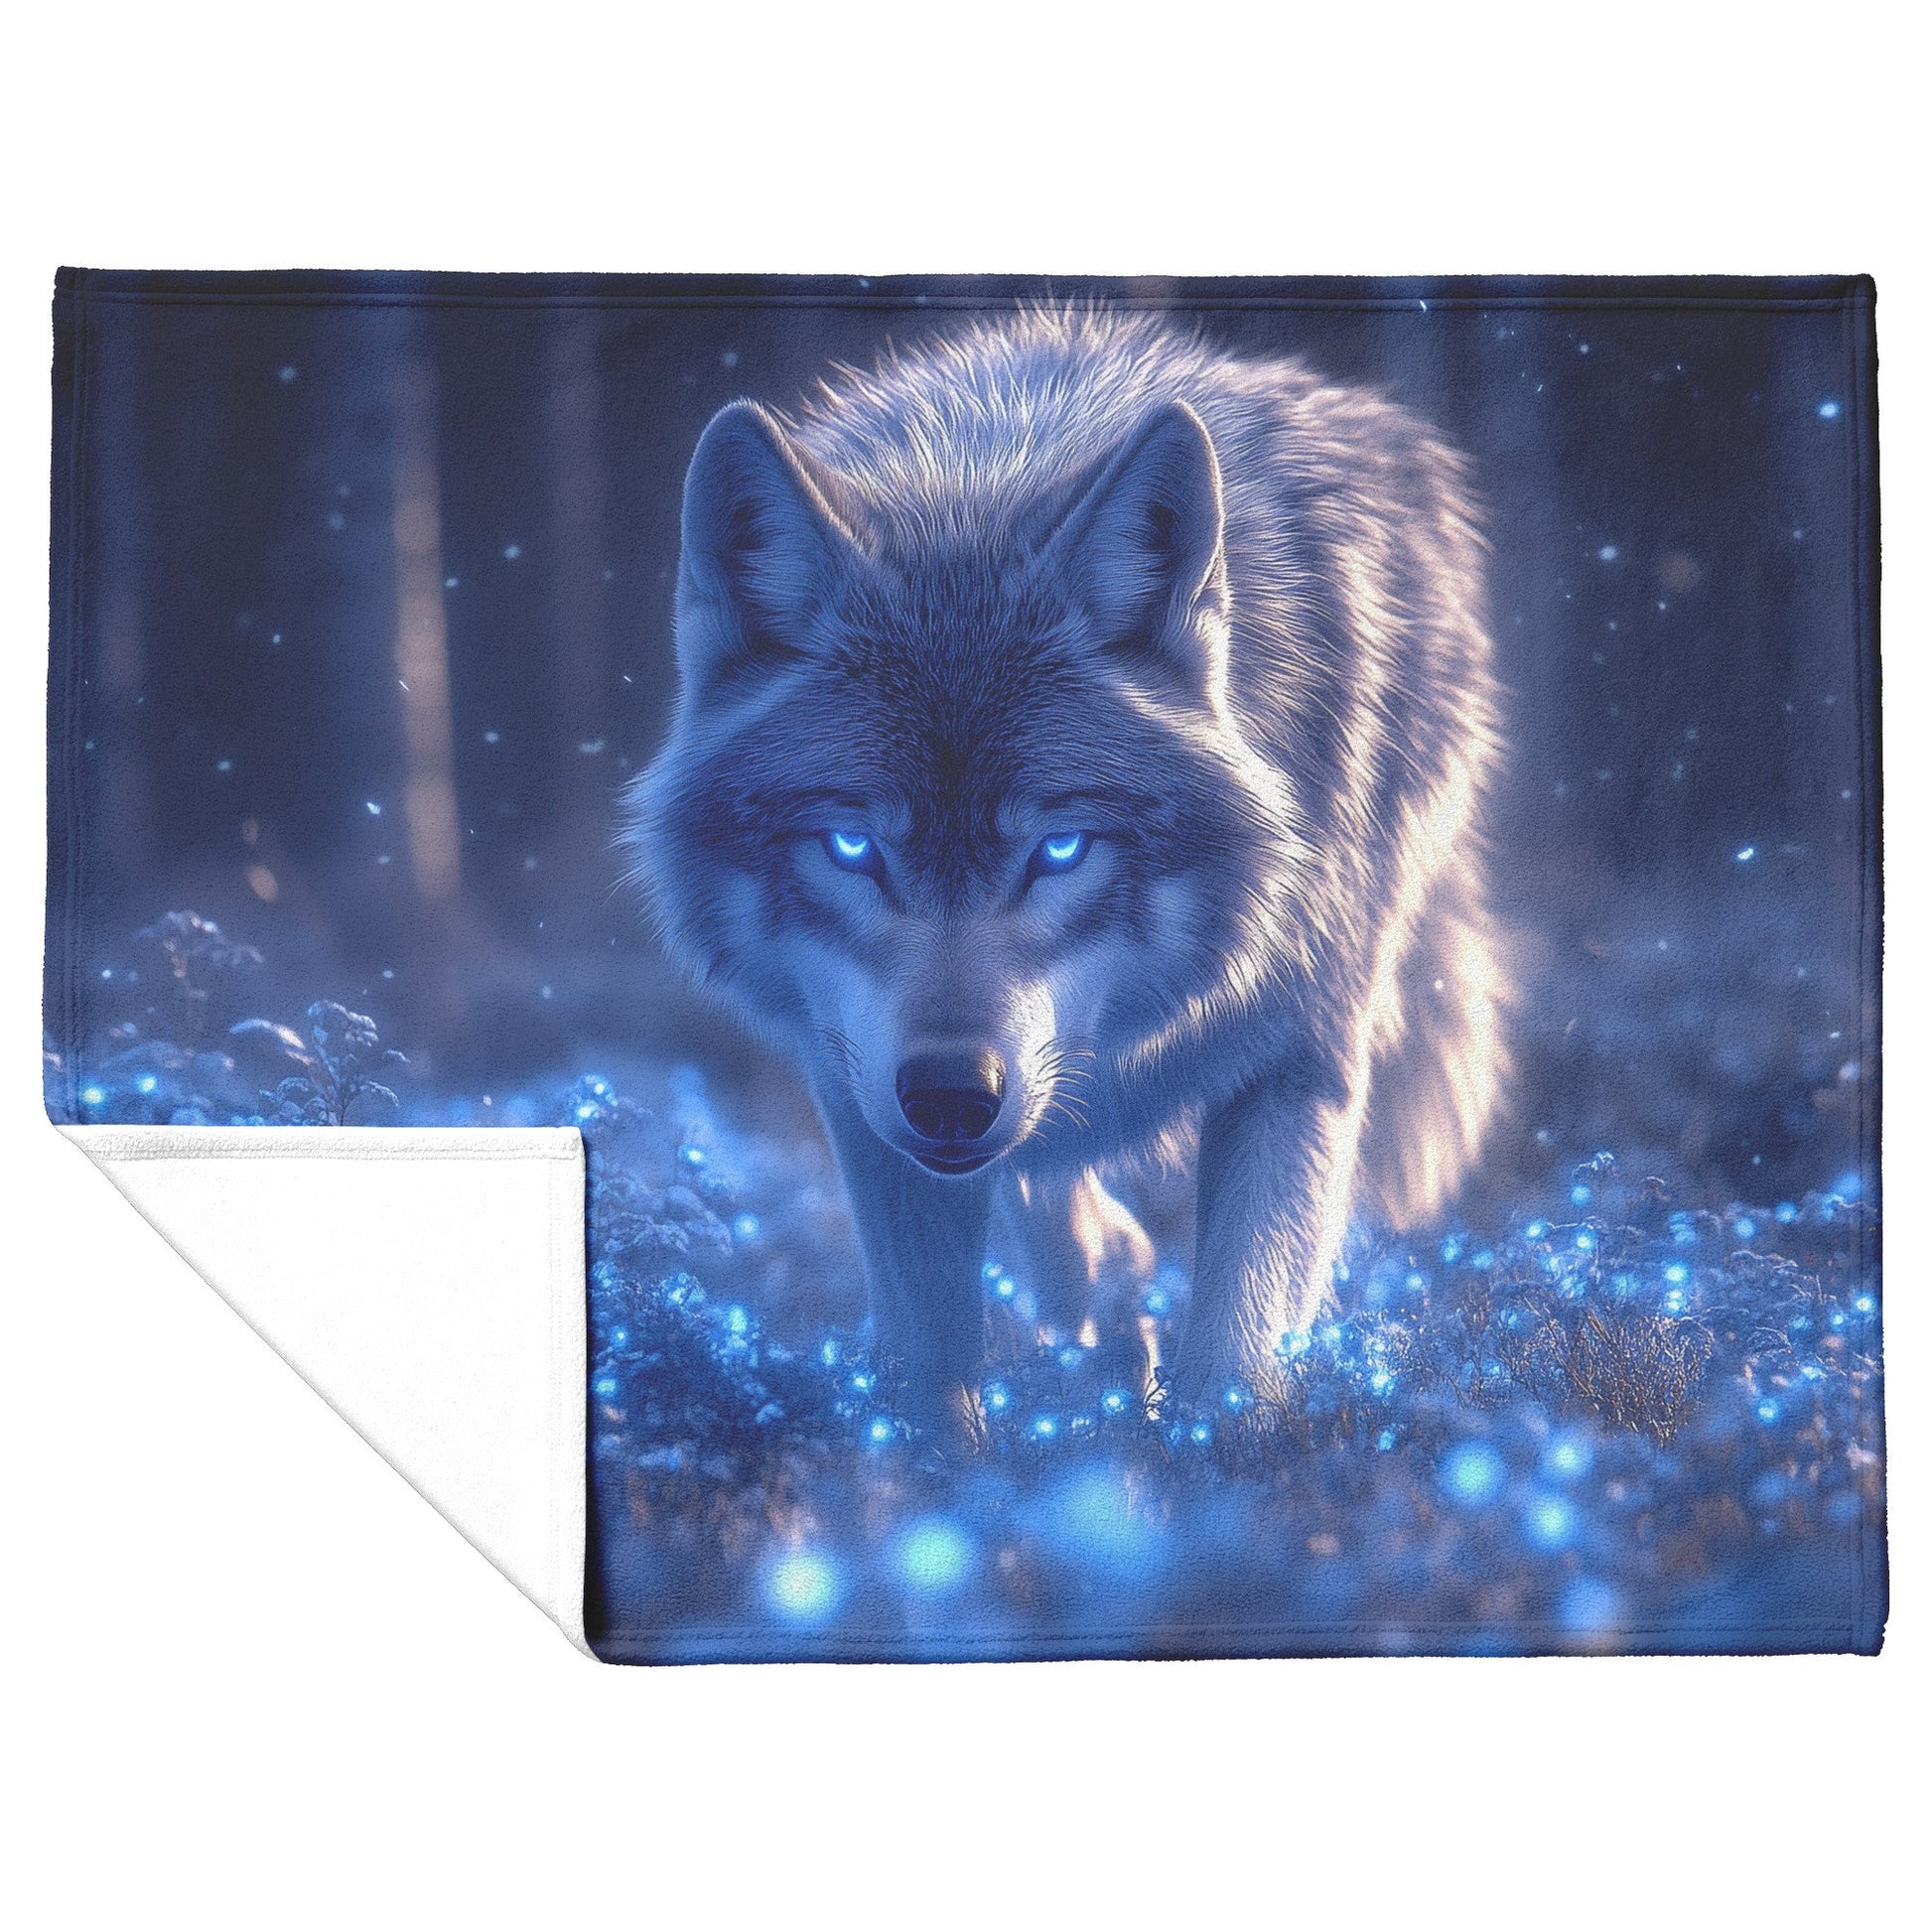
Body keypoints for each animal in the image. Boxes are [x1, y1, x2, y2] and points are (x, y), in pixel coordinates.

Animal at [627, 308, 1507, 1434]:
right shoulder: (853, 1079)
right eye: (853, 847)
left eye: (1059, 848)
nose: (951, 1096)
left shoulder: (1300, 1054)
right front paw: (937, 1472)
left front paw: (1213, 1460)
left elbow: (1235, 1343)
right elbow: (928, 1353)